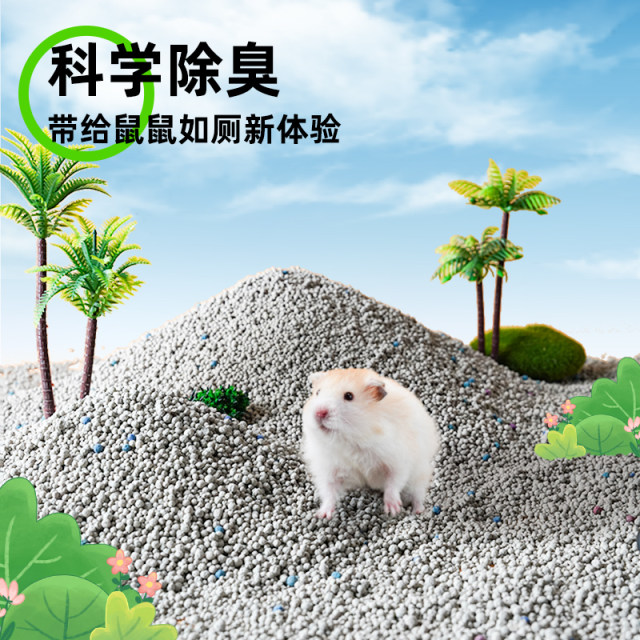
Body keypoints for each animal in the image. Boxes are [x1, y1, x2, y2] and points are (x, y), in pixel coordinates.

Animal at [301, 368, 440, 518]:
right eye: (317, 393)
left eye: (349, 396)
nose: (319, 413)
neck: (351, 440)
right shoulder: (329, 469)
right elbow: (329, 491)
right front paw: (322, 515)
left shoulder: (398, 461)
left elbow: (394, 482)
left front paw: (392, 509)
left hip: (419, 476)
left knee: (418, 494)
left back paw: (418, 511)